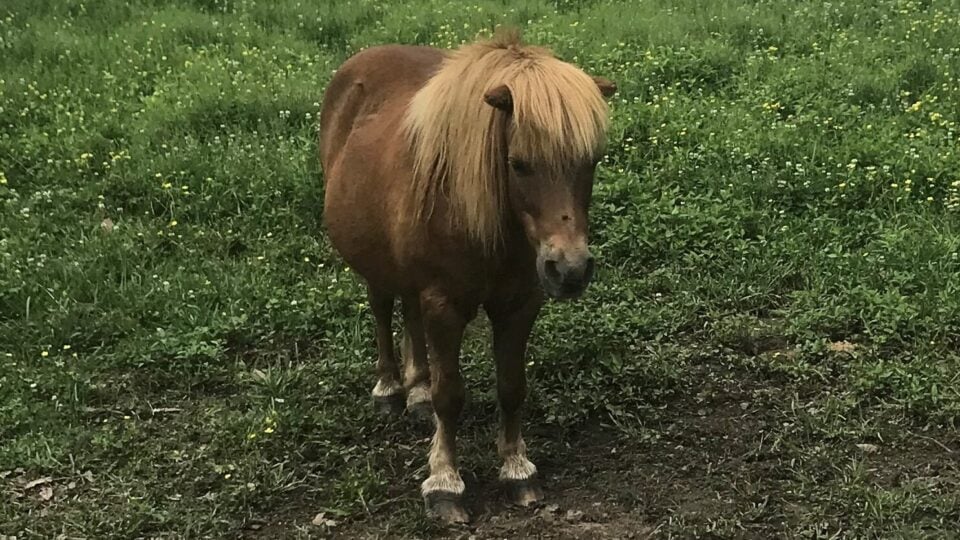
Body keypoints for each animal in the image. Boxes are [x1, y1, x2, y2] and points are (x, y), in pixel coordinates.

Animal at [318, 27, 616, 523]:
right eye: (518, 163)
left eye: (591, 161)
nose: (570, 269)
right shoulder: (445, 304)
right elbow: (450, 396)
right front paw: (444, 482)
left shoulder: (519, 304)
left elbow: (512, 387)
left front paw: (517, 470)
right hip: (374, 261)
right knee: (382, 307)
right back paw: (390, 389)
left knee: (409, 314)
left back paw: (416, 390)